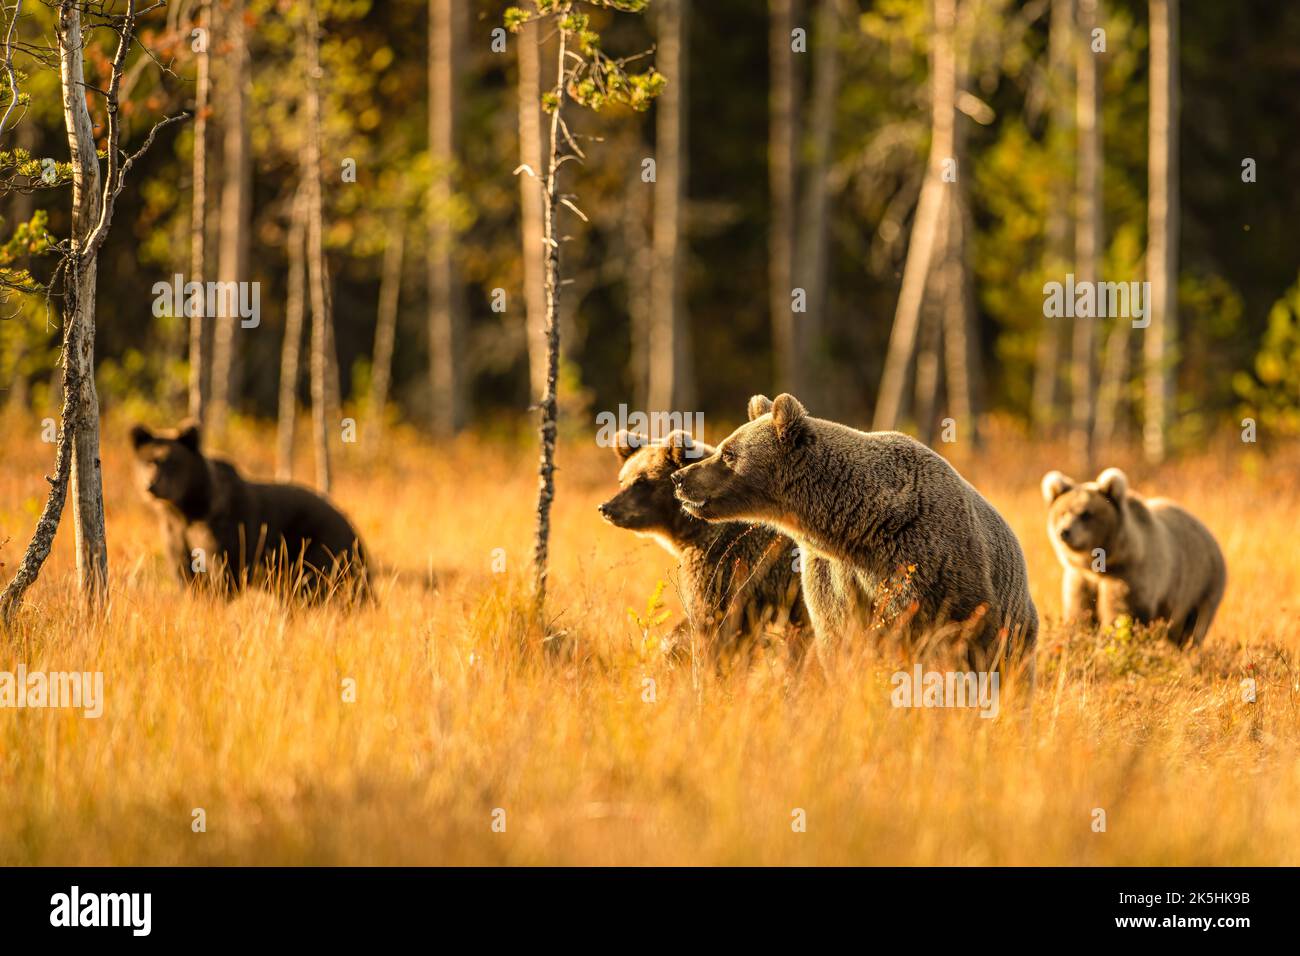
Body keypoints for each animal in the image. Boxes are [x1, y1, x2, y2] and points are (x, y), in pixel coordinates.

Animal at [130, 421, 370, 601]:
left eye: (170, 461)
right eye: (148, 461)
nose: (151, 485)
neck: (185, 509)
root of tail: (352, 527)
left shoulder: (227, 531)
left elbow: (226, 574)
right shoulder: (176, 536)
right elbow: (187, 576)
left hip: (319, 547)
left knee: (314, 585)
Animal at [598, 428, 806, 656]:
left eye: (641, 481)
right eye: (622, 479)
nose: (606, 508)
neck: (690, 530)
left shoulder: (725, 561)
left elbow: (711, 617)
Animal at [671, 394, 1038, 666]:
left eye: (728, 453)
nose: (680, 477)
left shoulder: (929, 560)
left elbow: (956, 637)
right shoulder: (834, 576)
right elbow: (838, 637)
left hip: (1017, 618)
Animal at [1041, 467, 1226, 646]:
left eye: (1086, 513)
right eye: (1063, 512)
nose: (1064, 532)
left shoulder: (1130, 577)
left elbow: (1122, 615)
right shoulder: (1081, 580)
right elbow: (1080, 613)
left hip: (1201, 585)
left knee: (1193, 626)